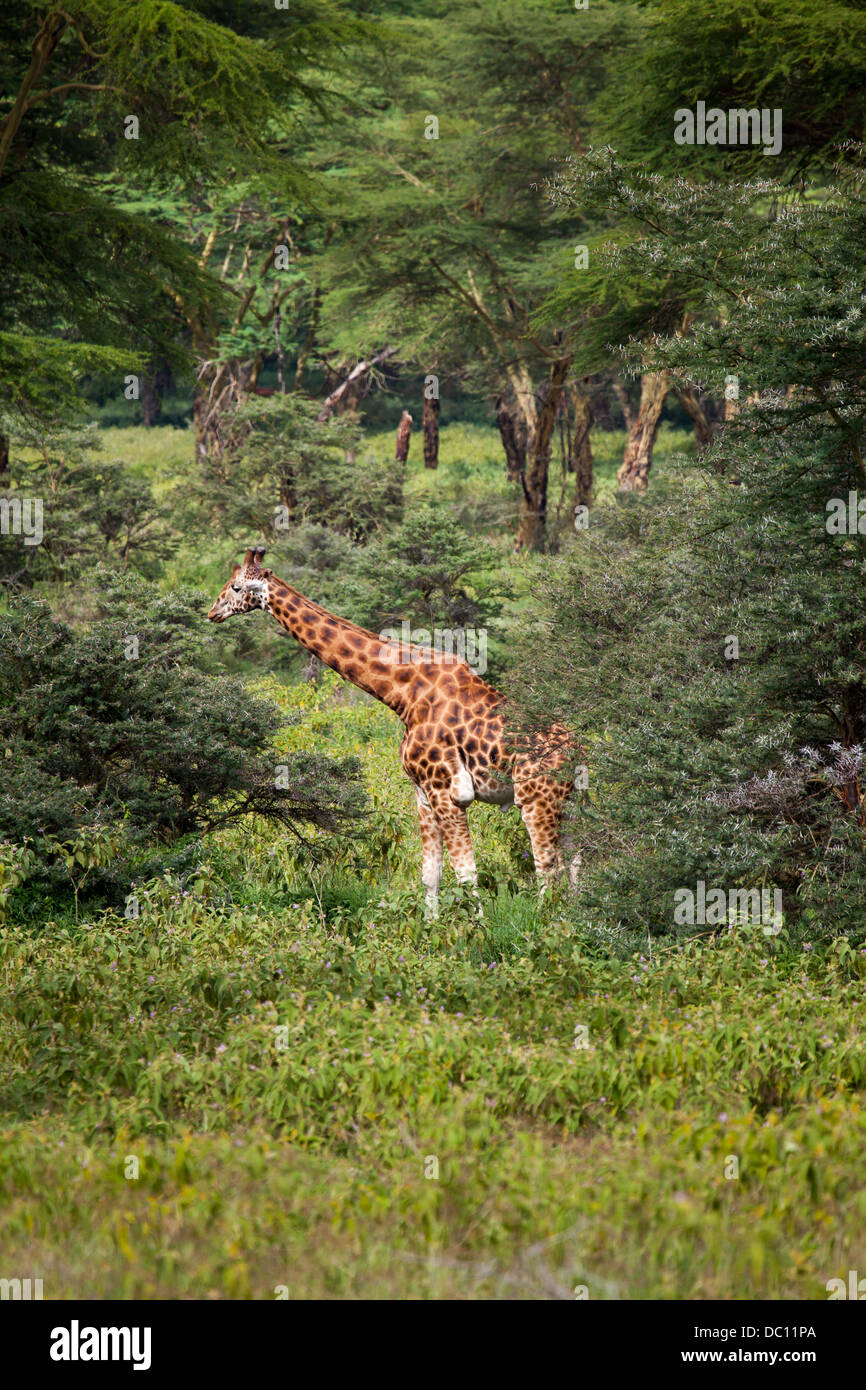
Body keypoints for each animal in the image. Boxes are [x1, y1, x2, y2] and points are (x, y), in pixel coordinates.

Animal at [208, 546, 575, 915]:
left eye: (236, 587)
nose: (212, 611)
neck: (404, 694)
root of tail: (579, 752)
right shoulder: (423, 793)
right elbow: (431, 874)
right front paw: (432, 926)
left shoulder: (448, 791)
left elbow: (466, 872)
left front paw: (476, 928)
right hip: (569, 802)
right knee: (575, 864)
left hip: (536, 799)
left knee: (548, 868)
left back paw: (546, 923)